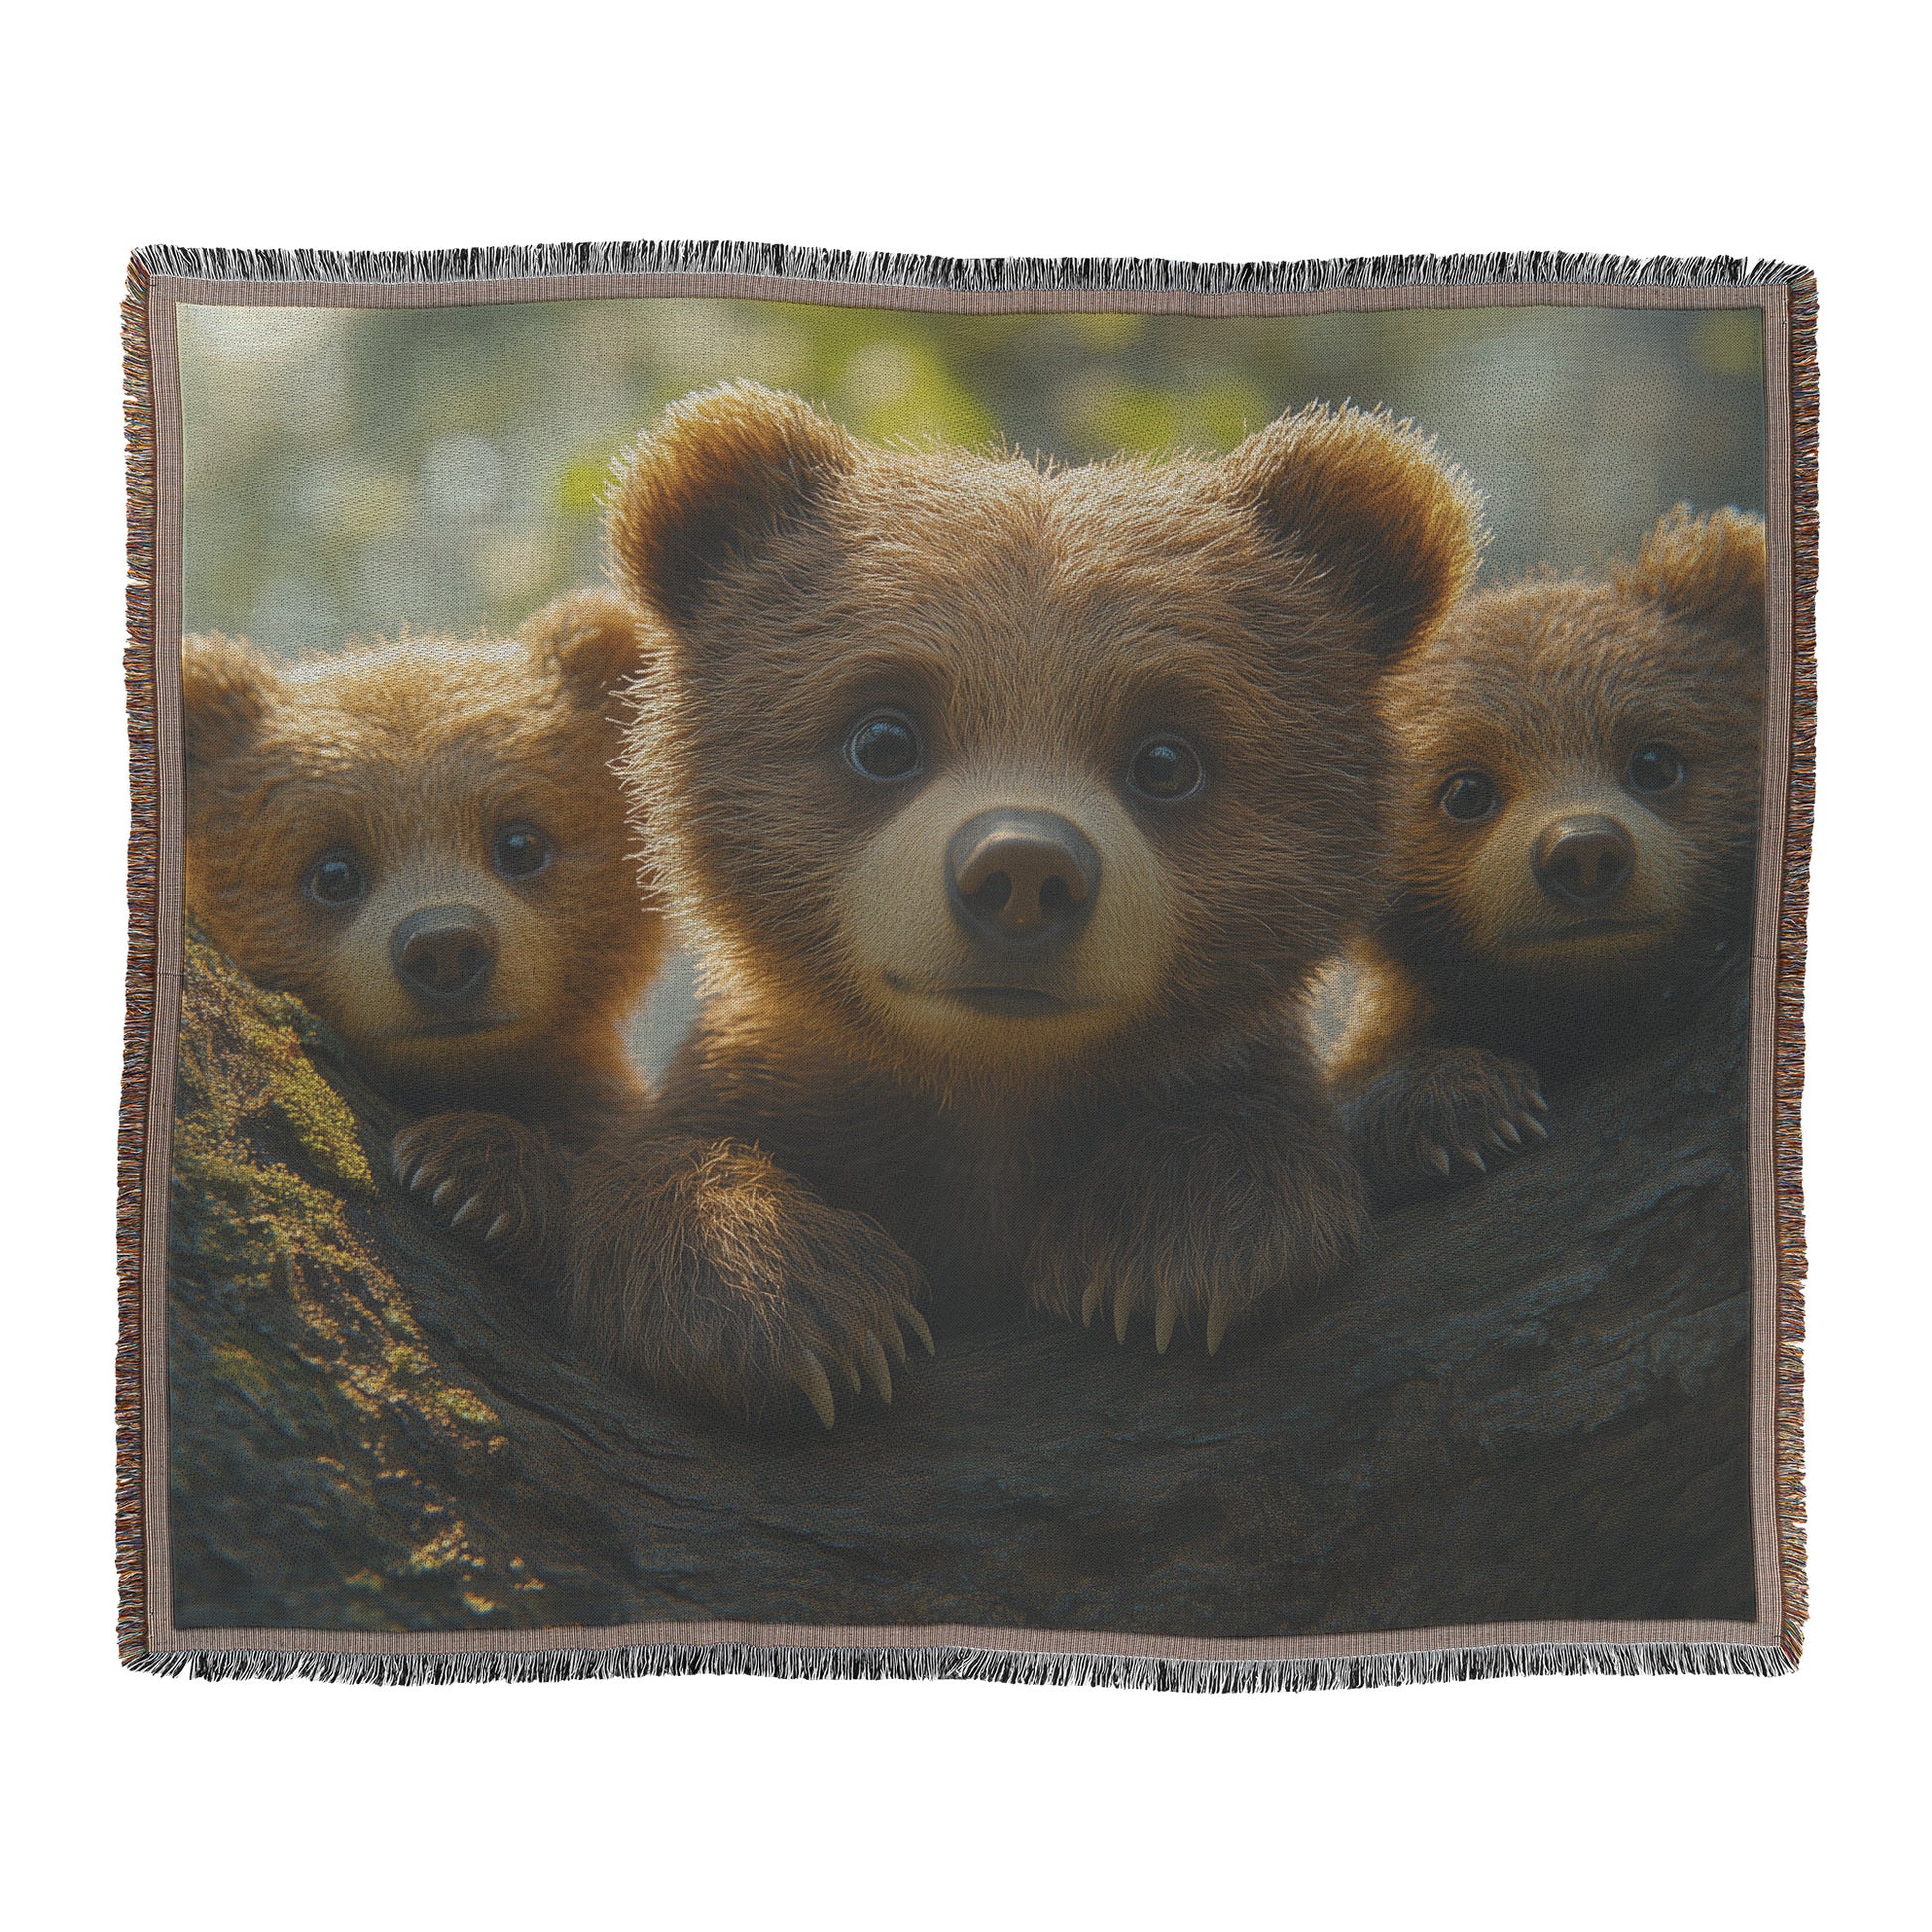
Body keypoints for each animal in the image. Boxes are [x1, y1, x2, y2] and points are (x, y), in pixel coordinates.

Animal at [559, 381, 1484, 1425]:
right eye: (884, 734)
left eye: (1166, 757)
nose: (1024, 871)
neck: (992, 1096)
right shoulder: (774, 1090)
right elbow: (672, 1177)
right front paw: (798, 1306)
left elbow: (1236, 1148)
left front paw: (1171, 1244)